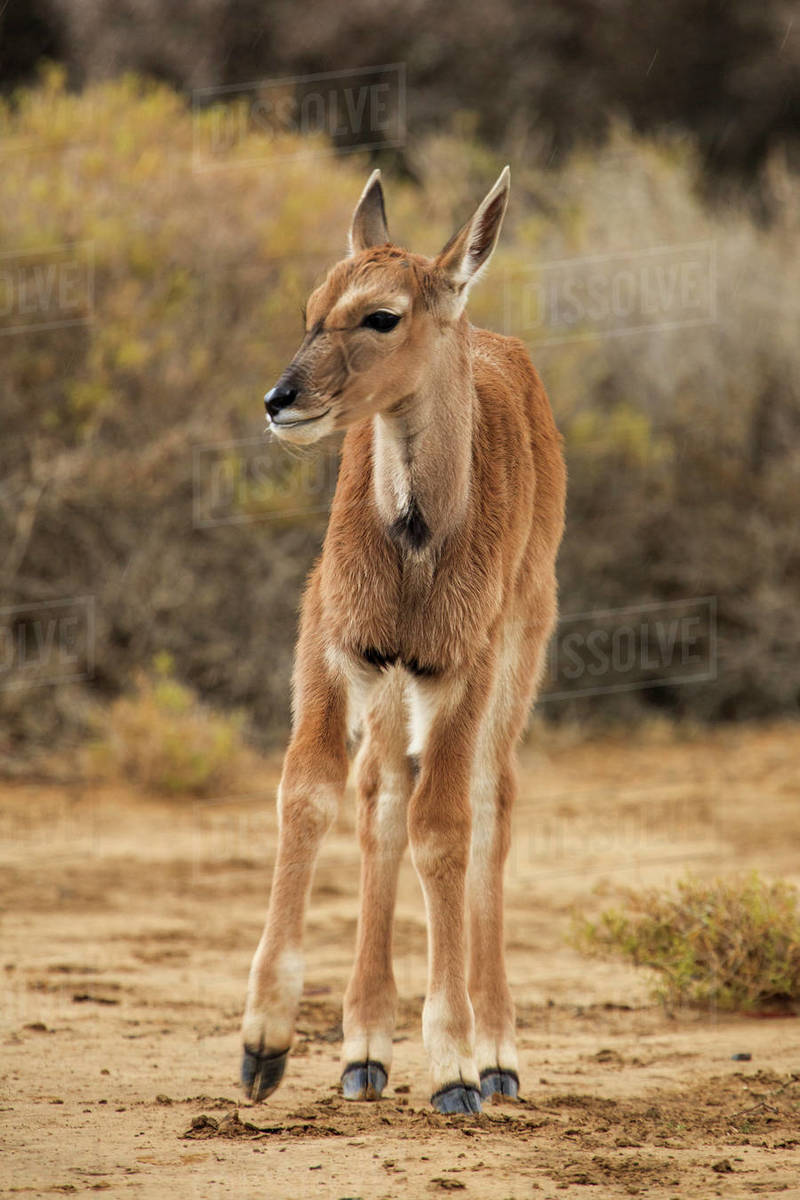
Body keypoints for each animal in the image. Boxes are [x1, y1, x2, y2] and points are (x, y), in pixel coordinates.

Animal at [241, 167, 566, 1114]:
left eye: (380, 315)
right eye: (314, 308)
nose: (281, 402)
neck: (418, 542)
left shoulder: (464, 668)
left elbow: (447, 828)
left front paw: (454, 1063)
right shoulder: (335, 641)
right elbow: (310, 792)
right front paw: (264, 1044)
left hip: (521, 651)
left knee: (490, 802)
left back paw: (496, 1056)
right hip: (391, 688)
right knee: (380, 796)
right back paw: (363, 1051)